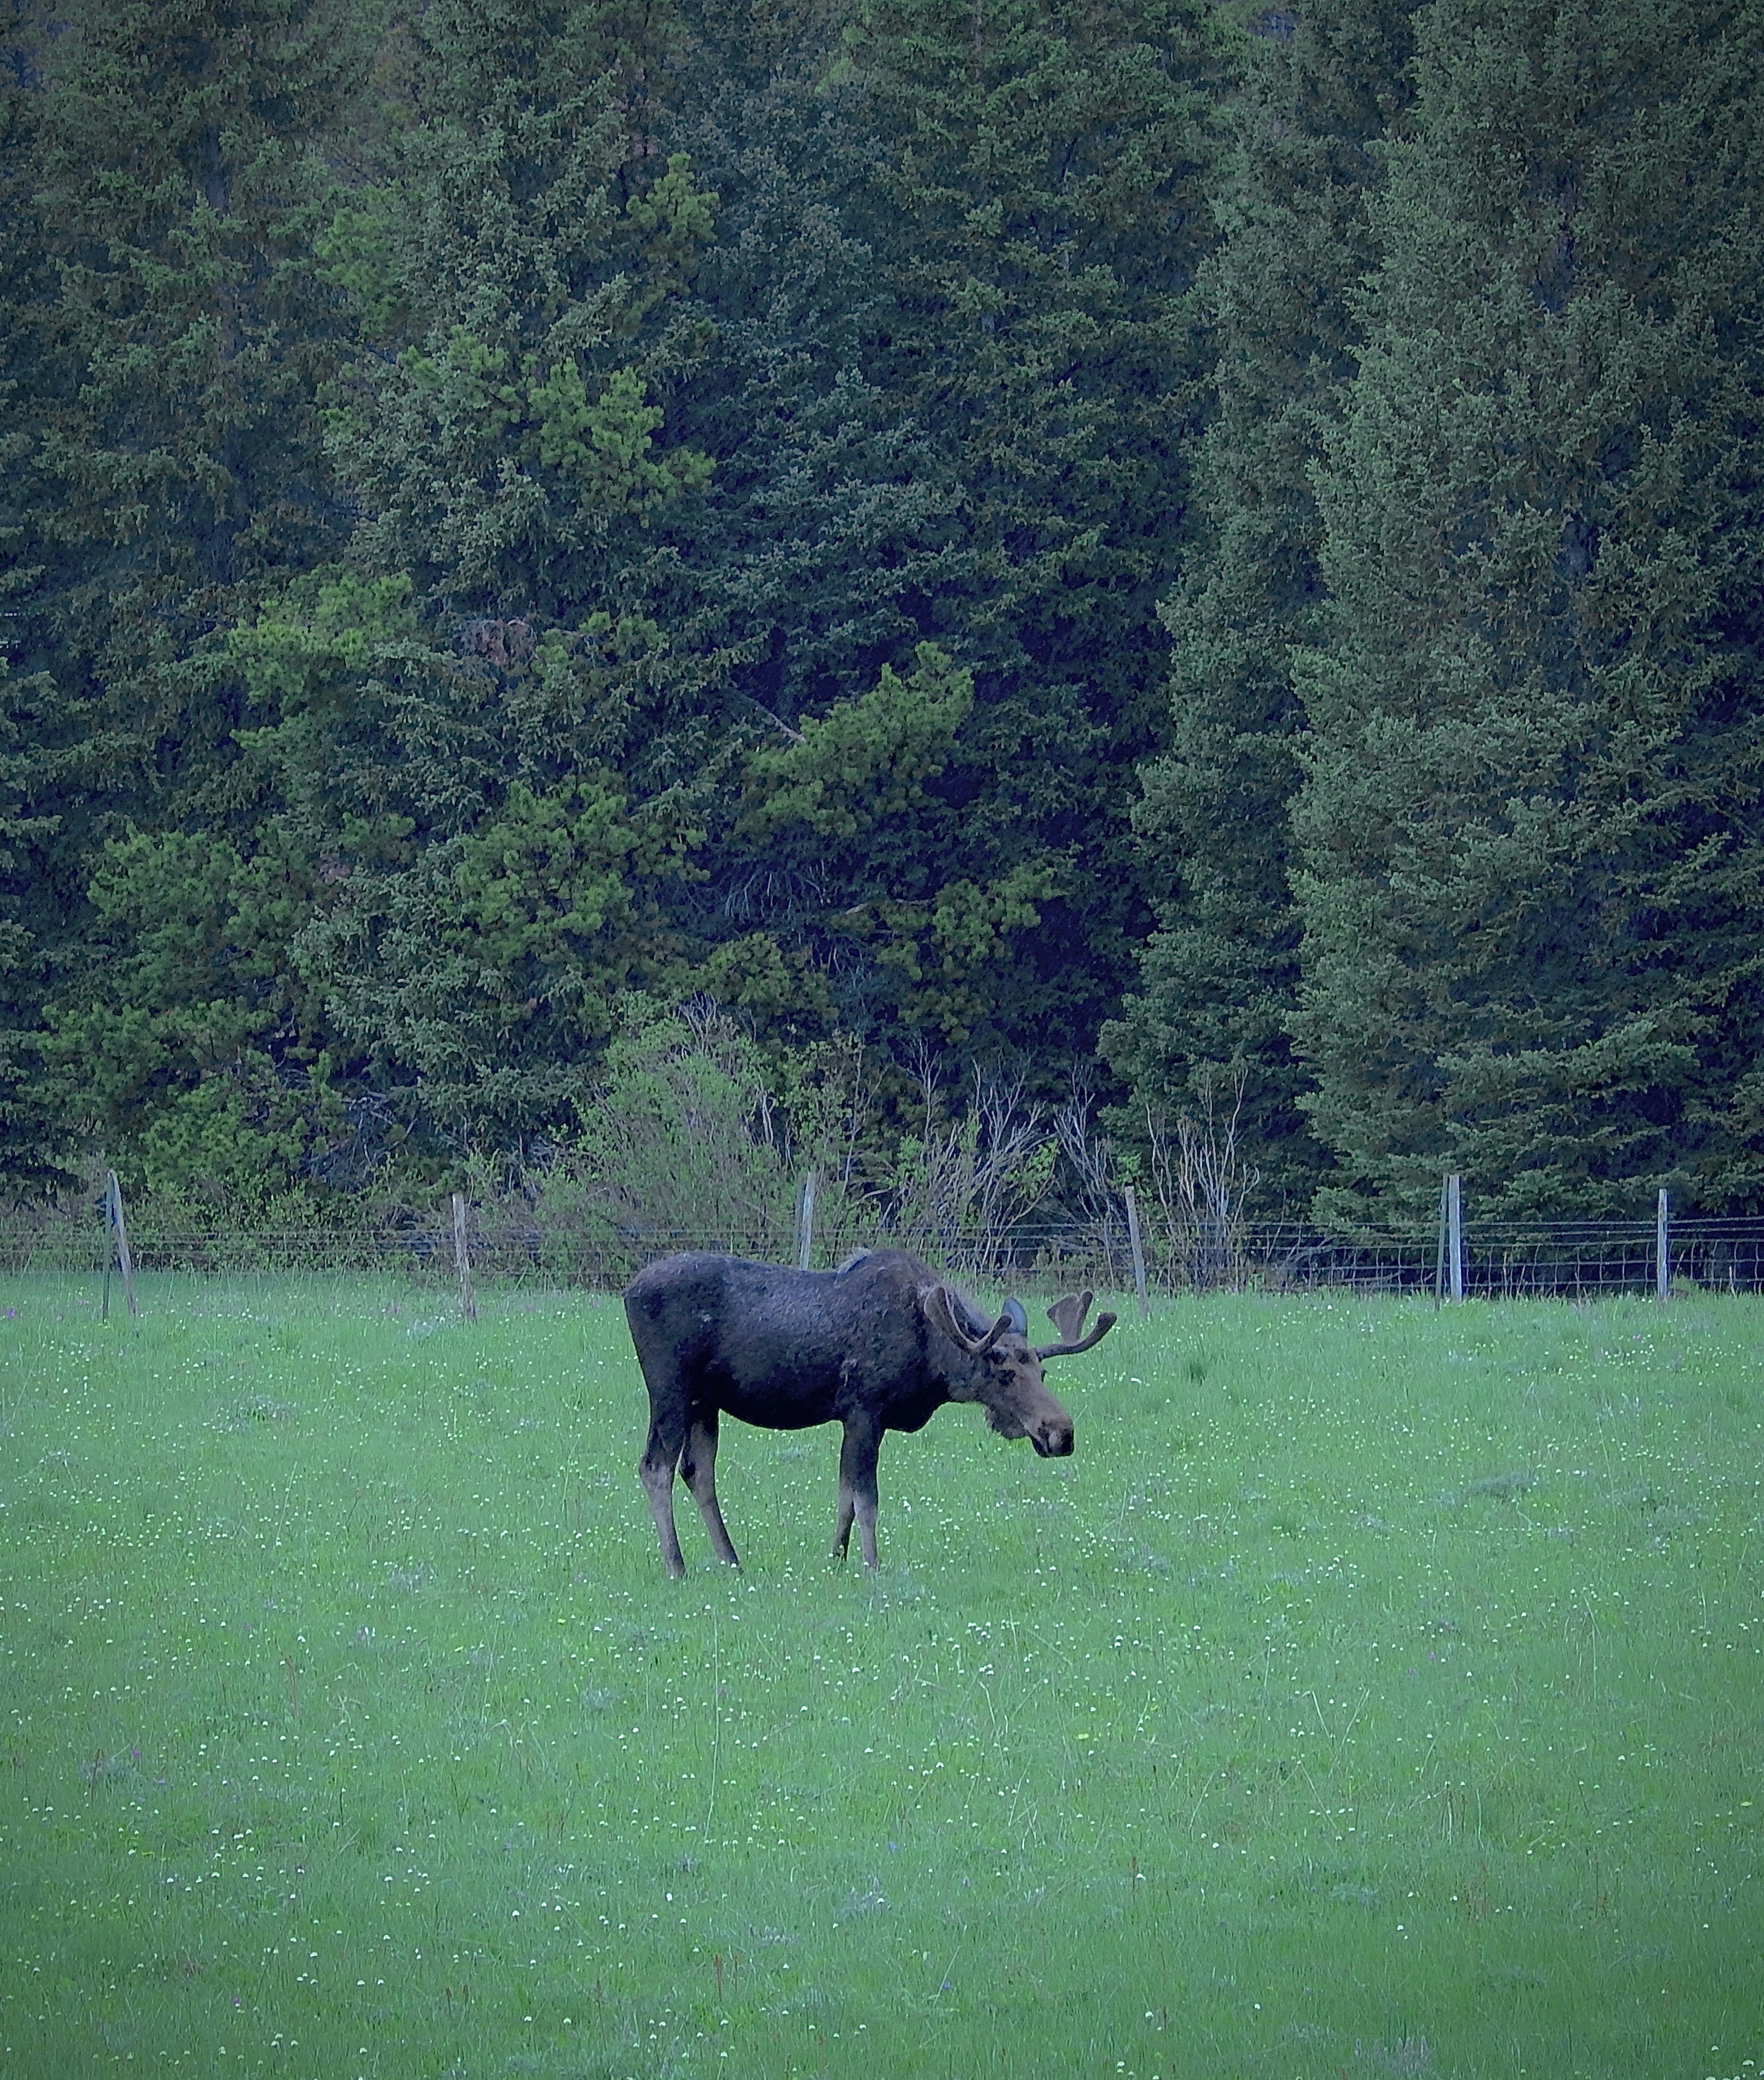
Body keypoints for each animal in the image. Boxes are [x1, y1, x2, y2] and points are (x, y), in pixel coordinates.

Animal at [623, 1246, 1117, 1576]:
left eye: (1042, 1371)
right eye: (1006, 1375)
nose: (1061, 1432)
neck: (931, 1357)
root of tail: (628, 1291)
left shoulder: (853, 1418)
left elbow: (844, 1493)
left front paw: (837, 1559)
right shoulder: (865, 1409)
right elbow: (867, 1499)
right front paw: (872, 1565)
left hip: (705, 1402)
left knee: (697, 1471)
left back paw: (730, 1560)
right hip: (670, 1388)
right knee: (655, 1466)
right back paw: (677, 1565)